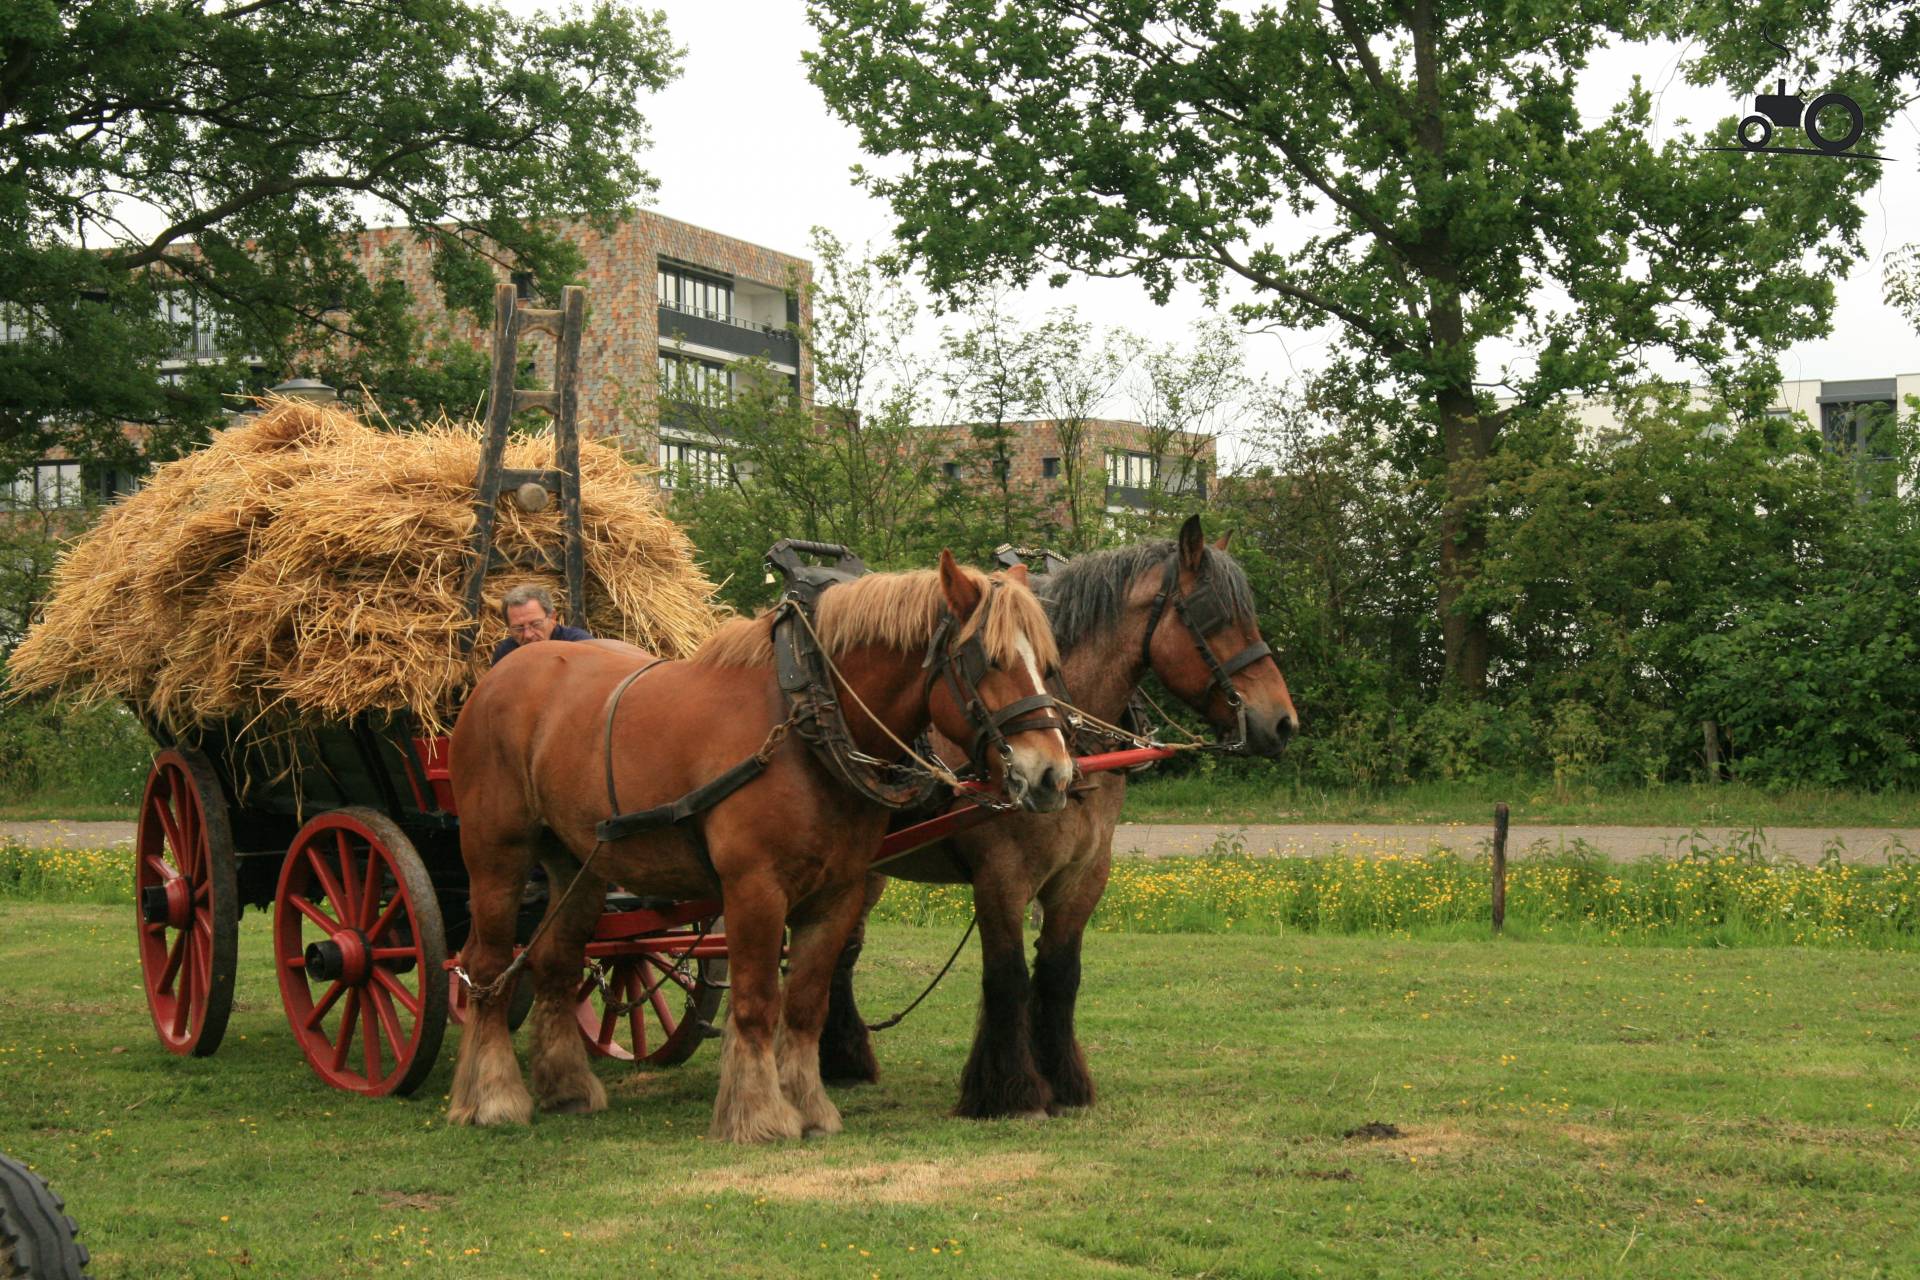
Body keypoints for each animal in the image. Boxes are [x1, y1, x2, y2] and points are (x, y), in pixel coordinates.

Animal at [445, 551, 1075, 1142]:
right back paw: (491, 1097)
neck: (807, 721)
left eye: (1047, 666)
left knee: (555, 963)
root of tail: (500, 674)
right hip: (497, 854)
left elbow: (804, 1006)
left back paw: (567, 1088)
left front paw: (811, 1108)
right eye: (990, 661)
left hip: (579, 862)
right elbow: (755, 1003)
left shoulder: (838, 892)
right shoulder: (754, 889)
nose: (1053, 775)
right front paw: (758, 1115)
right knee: (484, 966)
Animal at [819, 515, 1298, 1117]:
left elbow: (1059, 974)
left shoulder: (1083, 875)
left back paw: (840, 1060)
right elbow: (1007, 977)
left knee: (840, 949)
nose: (1283, 722)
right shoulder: (1001, 879)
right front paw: (1010, 1092)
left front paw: (1065, 1083)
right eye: (1214, 615)